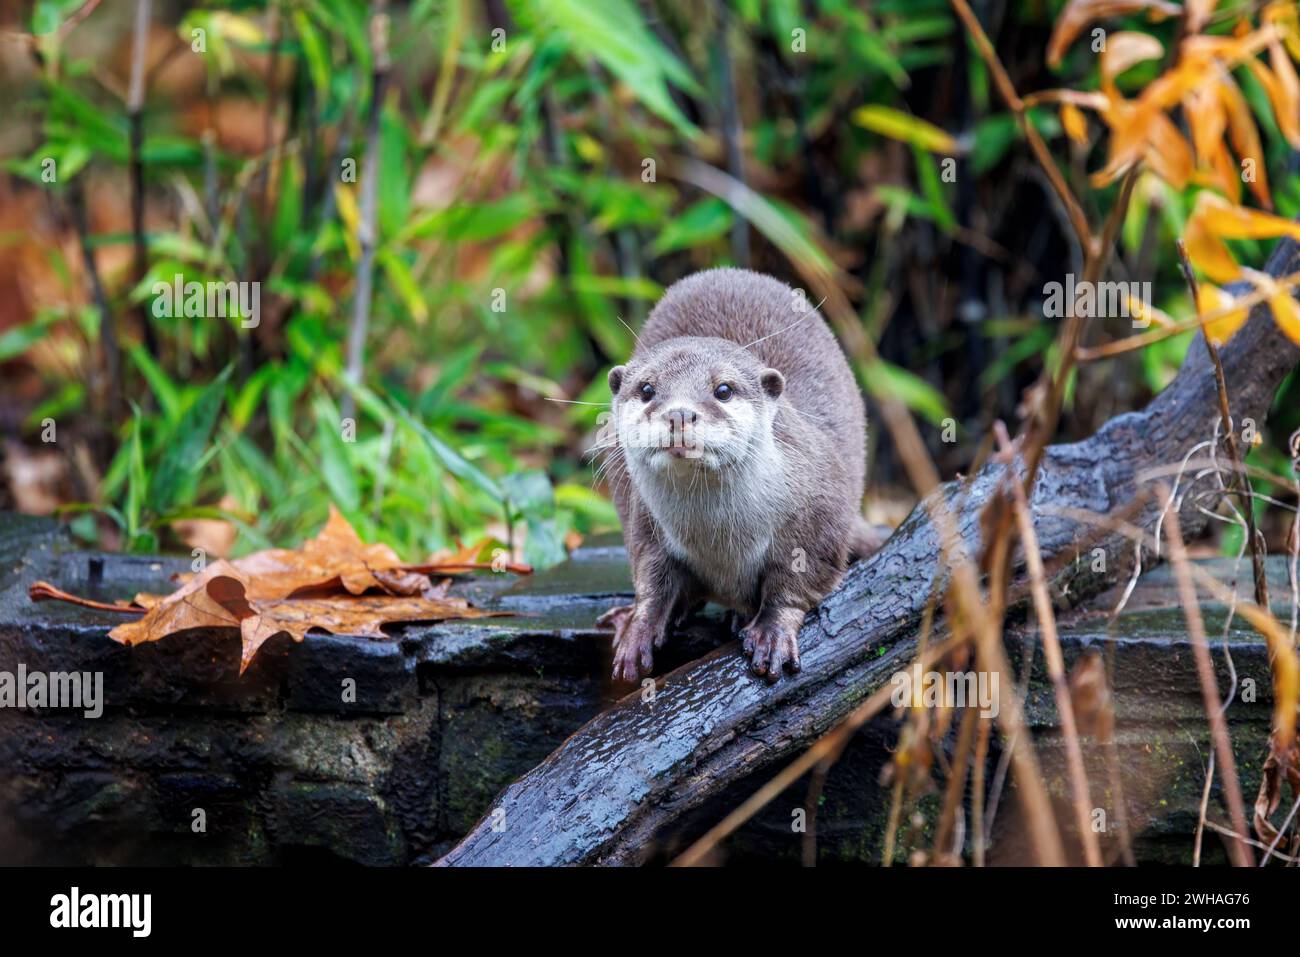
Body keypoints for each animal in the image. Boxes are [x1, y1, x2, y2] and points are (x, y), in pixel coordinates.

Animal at [596, 268, 872, 683]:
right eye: (646, 388)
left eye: (723, 389)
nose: (679, 413)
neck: (720, 541)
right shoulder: (644, 519)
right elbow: (651, 575)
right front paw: (638, 628)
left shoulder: (823, 510)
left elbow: (799, 583)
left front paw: (772, 633)